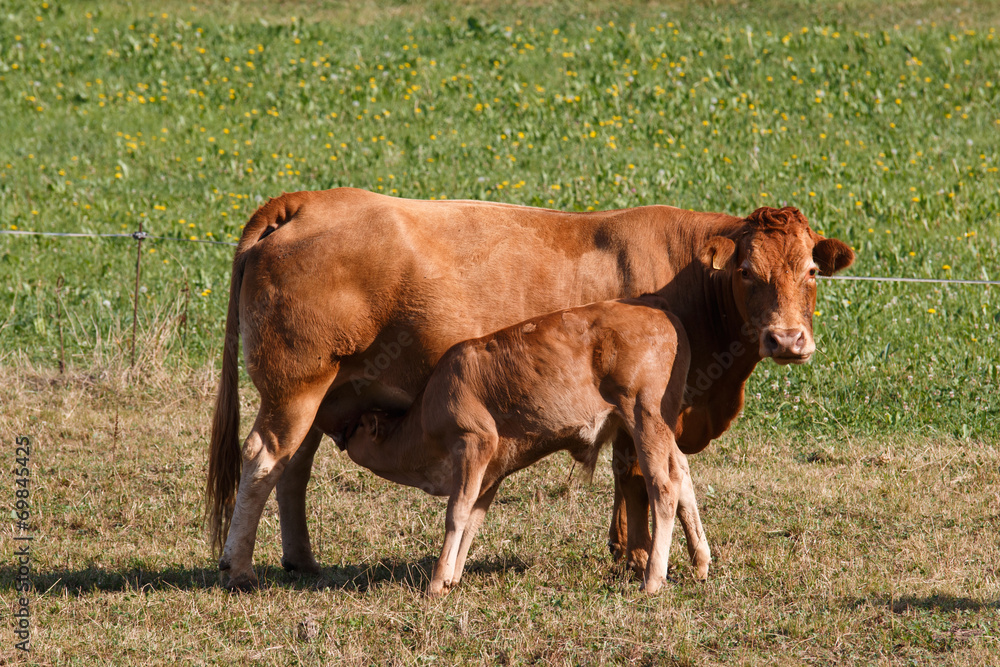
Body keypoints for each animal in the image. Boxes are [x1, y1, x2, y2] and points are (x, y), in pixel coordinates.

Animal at [344, 295, 709, 596]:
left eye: (360, 425)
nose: (343, 435)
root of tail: (662, 315)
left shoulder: (475, 442)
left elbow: (457, 512)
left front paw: (437, 581)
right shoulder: (491, 470)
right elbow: (473, 517)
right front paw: (453, 577)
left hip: (644, 418)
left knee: (663, 487)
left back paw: (653, 580)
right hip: (659, 427)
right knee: (682, 474)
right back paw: (700, 562)